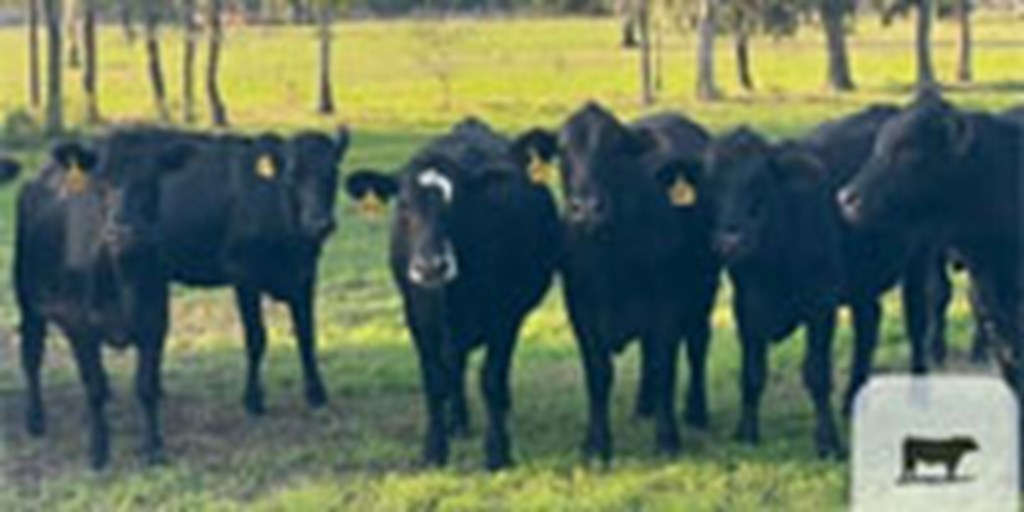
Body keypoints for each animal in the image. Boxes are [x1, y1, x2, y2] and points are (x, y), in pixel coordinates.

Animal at [16, 130, 193, 469]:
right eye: (101, 183)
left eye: (150, 180)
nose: (122, 231)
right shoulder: (80, 326)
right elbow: (93, 387)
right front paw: (99, 451)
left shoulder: (156, 322)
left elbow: (146, 386)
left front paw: (153, 448)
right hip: (27, 300)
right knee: (31, 355)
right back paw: (34, 420)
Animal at [151, 127, 349, 415]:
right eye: (292, 175)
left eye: (333, 172)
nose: (320, 223)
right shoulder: (245, 277)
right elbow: (256, 337)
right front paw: (253, 399)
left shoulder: (306, 274)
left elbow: (306, 334)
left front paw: (316, 394)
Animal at [343, 118, 561, 470]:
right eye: (403, 206)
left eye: (457, 204)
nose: (431, 266)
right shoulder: (417, 317)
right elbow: (435, 381)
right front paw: (434, 448)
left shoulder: (505, 317)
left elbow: (491, 378)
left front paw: (497, 451)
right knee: (454, 366)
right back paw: (456, 420)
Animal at [518, 103, 720, 463]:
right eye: (563, 151)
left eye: (616, 150)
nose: (587, 209)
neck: (610, 260)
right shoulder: (580, 310)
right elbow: (599, 374)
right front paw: (596, 444)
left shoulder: (666, 307)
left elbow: (665, 366)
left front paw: (668, 439)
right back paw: (644, 405)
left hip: (704, 293)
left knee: (697, 344)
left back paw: (696, 411)